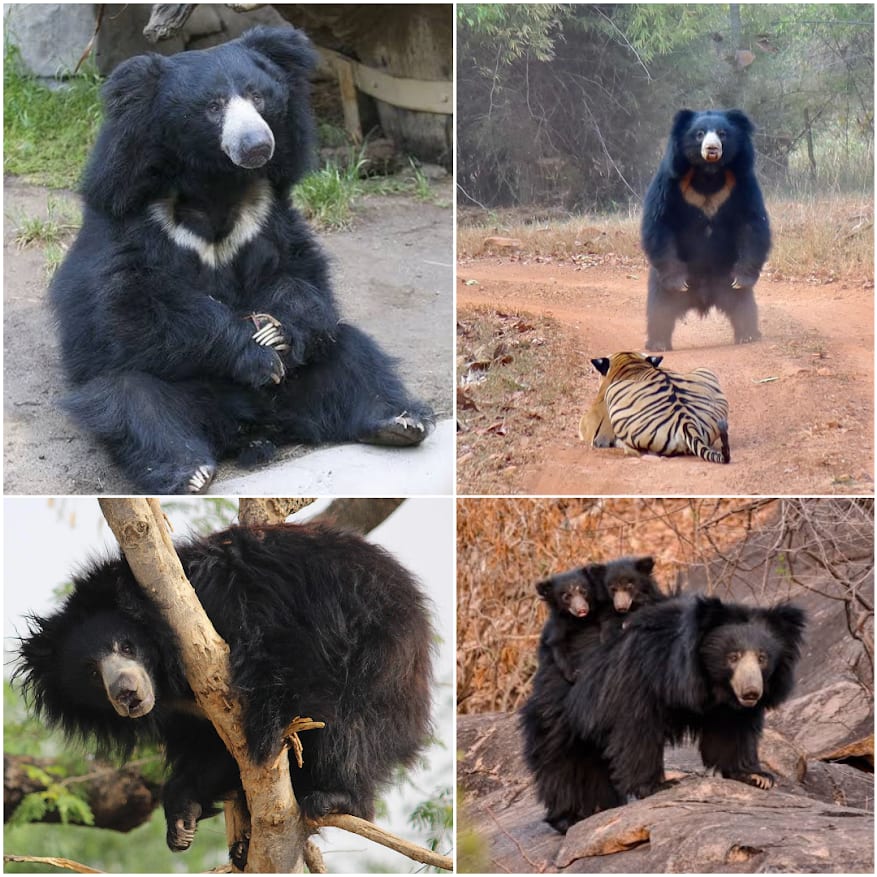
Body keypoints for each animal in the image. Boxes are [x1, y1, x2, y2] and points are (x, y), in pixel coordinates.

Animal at [16, 523, 434, 854]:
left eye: (126, 646)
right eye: (90, 671)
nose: (127, 694)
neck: (167, 678)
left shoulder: (220, 608)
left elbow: (279, 655)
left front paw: (265, 744)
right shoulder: (184, 714)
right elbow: (210, 747)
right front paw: (181, 819)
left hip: (377, 645)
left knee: (354, 725)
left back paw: (335, 797)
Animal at [48, 26, 434, 494]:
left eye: (258, 96)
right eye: (213, 106)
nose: (257, 145)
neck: (218, 184)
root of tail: (255, 428)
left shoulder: (267, 213)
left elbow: (297, 273)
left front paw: (278, 333)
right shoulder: (135, 220)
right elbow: (133, 307)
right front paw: (257, 353)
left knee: (351, 351)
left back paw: (398, 421)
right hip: (163, 394)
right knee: (132, 400)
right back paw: (191, 471)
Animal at [520, 556, 664, 833]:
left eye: (631, 585)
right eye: (612, 588)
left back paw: (604, 805)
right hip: (552, 719)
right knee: (556, 765)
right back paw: (566, 817)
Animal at [565, 595, 805, 809]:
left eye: (762, 658)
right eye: (733, 657)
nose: (751, 693)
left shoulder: (729, 707)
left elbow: (734, 729)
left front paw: (757, 776)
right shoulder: (641, 678)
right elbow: (638, 729)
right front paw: (657, 786)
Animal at [641, 108, 772, 351]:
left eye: (722, 133)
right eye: (699, 134)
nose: (712, 148)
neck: (708, 172)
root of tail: (704, 297)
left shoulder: (743, 181)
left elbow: (752, 221)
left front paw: (743, 277)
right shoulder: (669, 179)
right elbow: (659, 220)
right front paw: (678, 282)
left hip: (727, 275)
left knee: (744, 305)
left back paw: (748, 334)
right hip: (664, 283)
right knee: (660, 307)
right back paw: (658, 343)